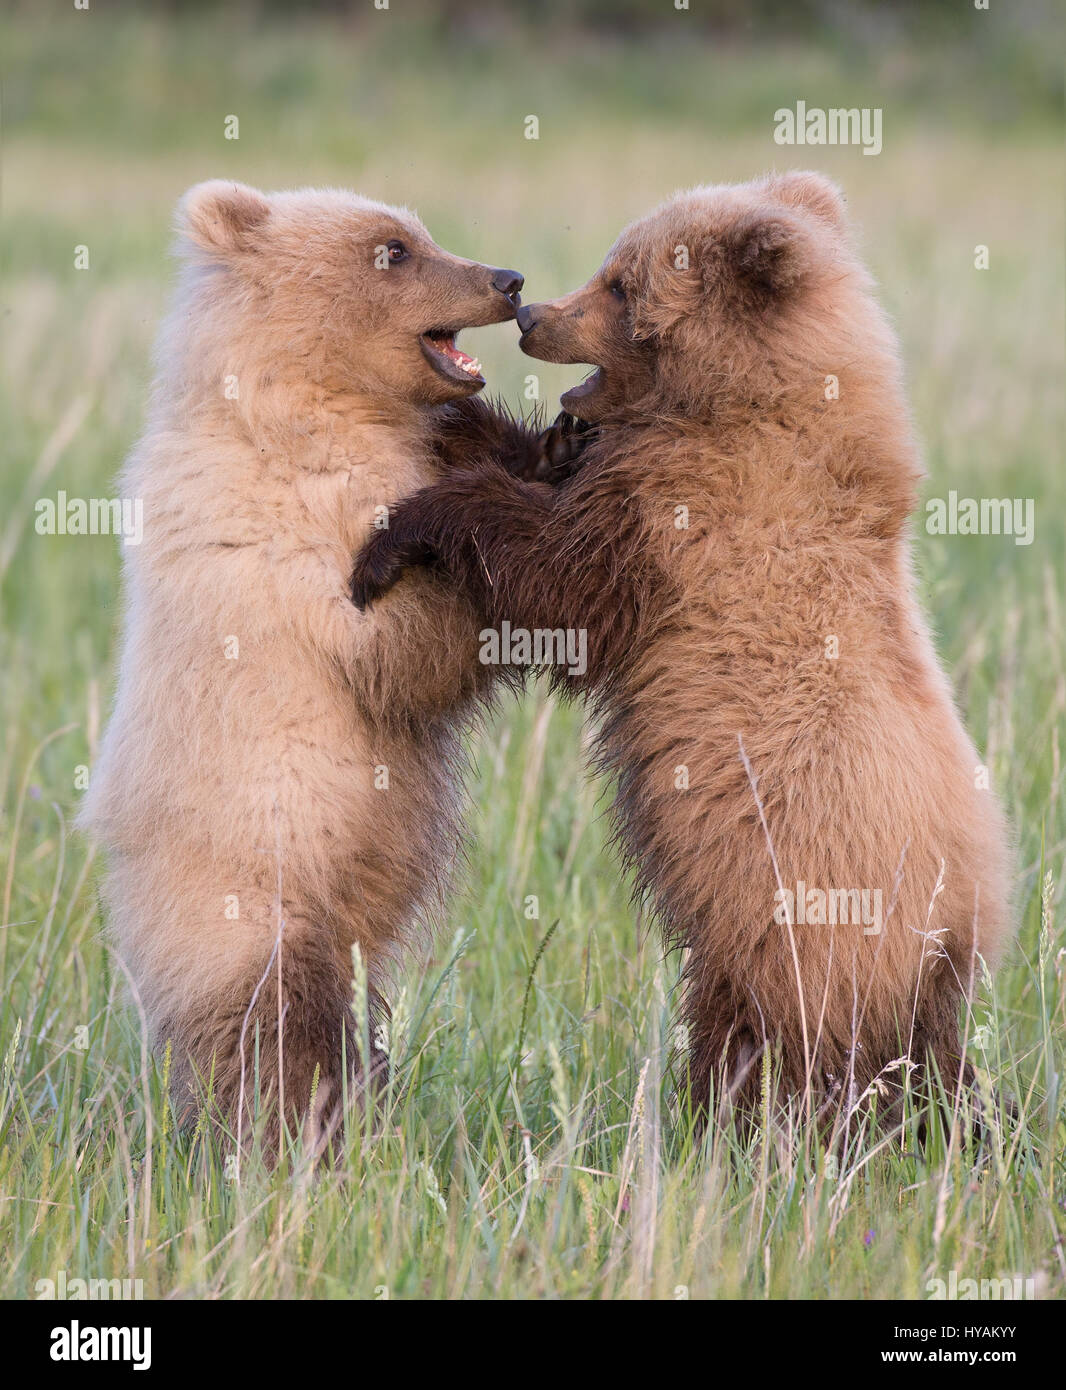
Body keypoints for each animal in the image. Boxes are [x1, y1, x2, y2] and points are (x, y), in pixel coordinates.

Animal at [81, 180, 544, 1152]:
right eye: (391, 249)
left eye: (417, 230)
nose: (507, 279)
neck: (305, 405)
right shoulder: (285, 543)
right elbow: (398, 652)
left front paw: (531, 447)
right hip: (248, 883)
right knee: (275, 1021)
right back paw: (296, 1133)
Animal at [350, 171, 1013, 1130]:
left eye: (622, 287)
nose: (533, 312)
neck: (737, 404)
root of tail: (958, 934)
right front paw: (489, 424)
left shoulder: (689, 518)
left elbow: (558, 583)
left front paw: (397, 535)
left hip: (797, 925)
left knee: (772, 1044)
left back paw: (733, 1124)